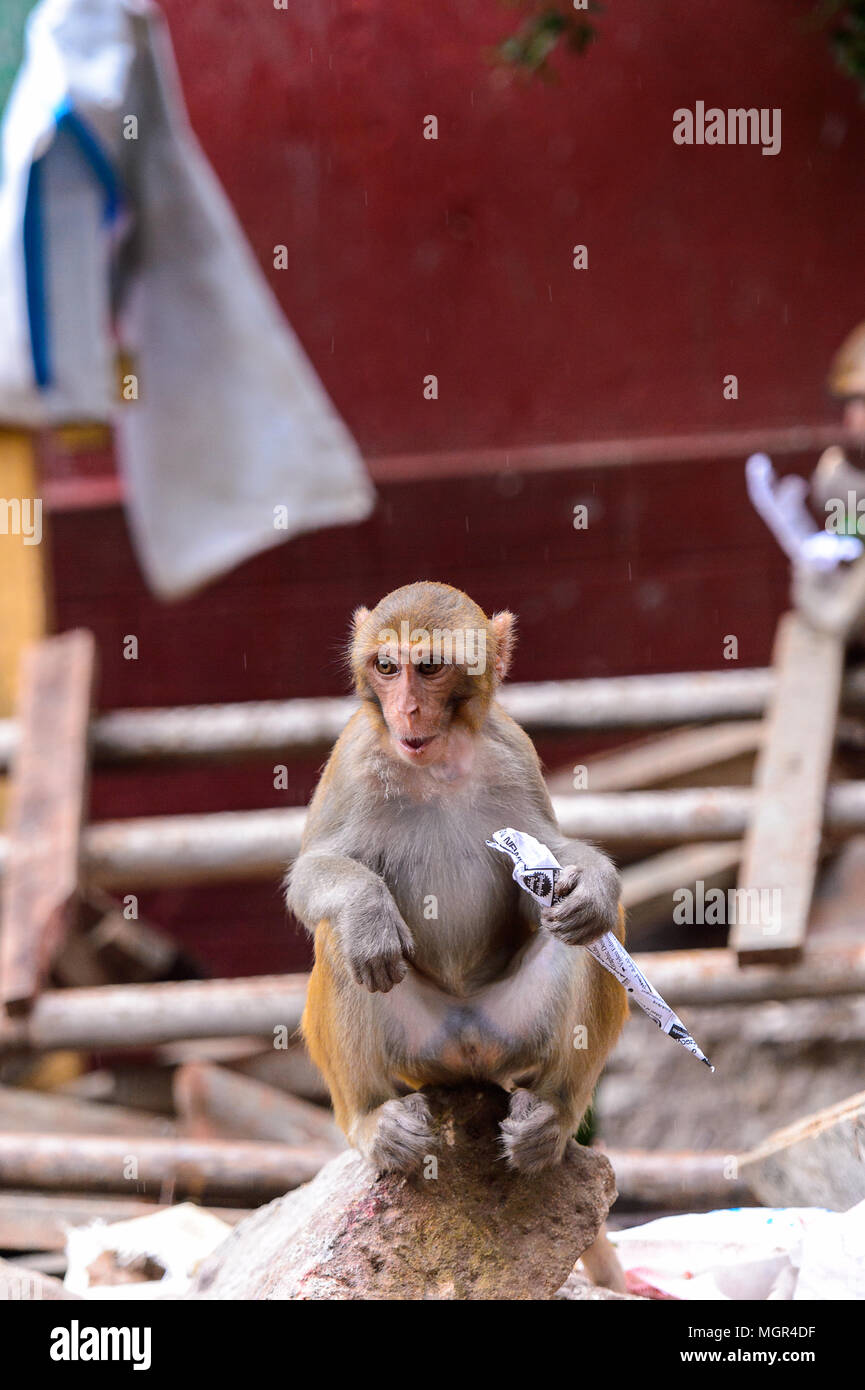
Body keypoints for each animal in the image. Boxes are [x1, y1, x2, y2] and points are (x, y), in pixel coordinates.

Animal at [286, 581, 628, 1281]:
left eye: (430, 667)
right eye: (386, 667)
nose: (407, 709)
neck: (437, 758)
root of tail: (467, 1054)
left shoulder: (512, 749)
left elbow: (549, 858)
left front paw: (593, 887)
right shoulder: (354, 753)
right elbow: (314, 874)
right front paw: (366, 909)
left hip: (511, 1034)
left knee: (586, 943)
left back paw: (552, 1116)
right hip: (418, 1051)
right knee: (340, 943)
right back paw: (372, 1120)